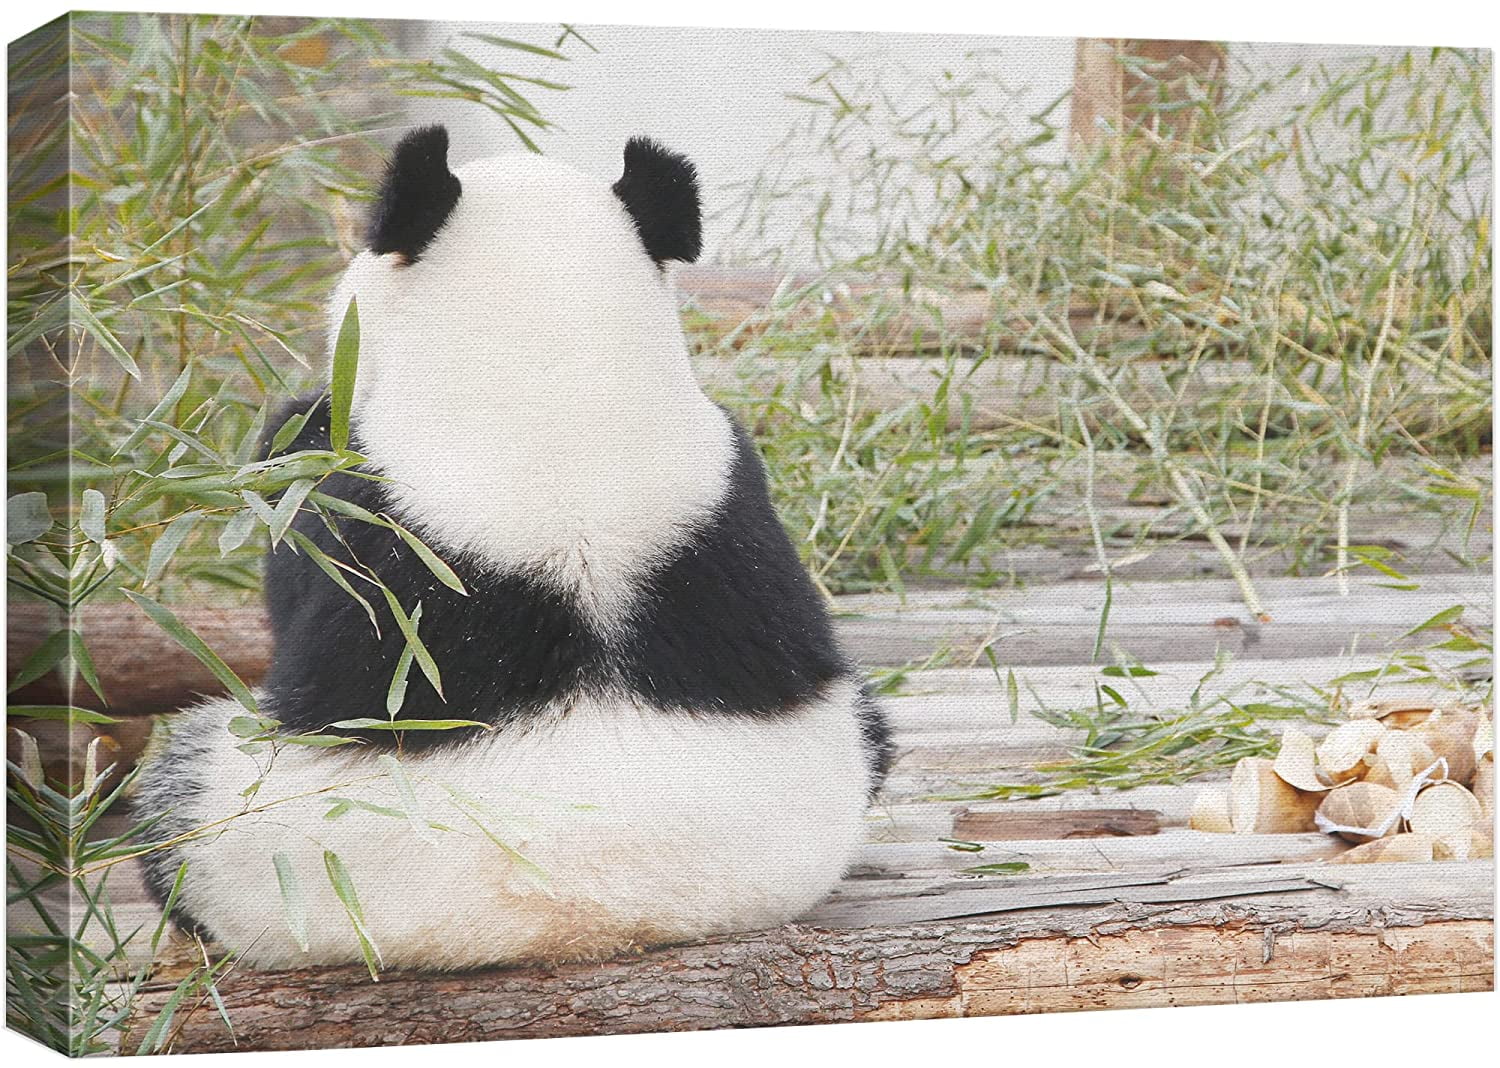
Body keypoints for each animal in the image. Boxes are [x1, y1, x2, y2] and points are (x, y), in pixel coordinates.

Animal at [132, 126, 892, 971]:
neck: (557, 381)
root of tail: (588, 920)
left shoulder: (361, 515)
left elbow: (295, 492)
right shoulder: (740, 499)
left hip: (261, 853)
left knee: (172, 802)